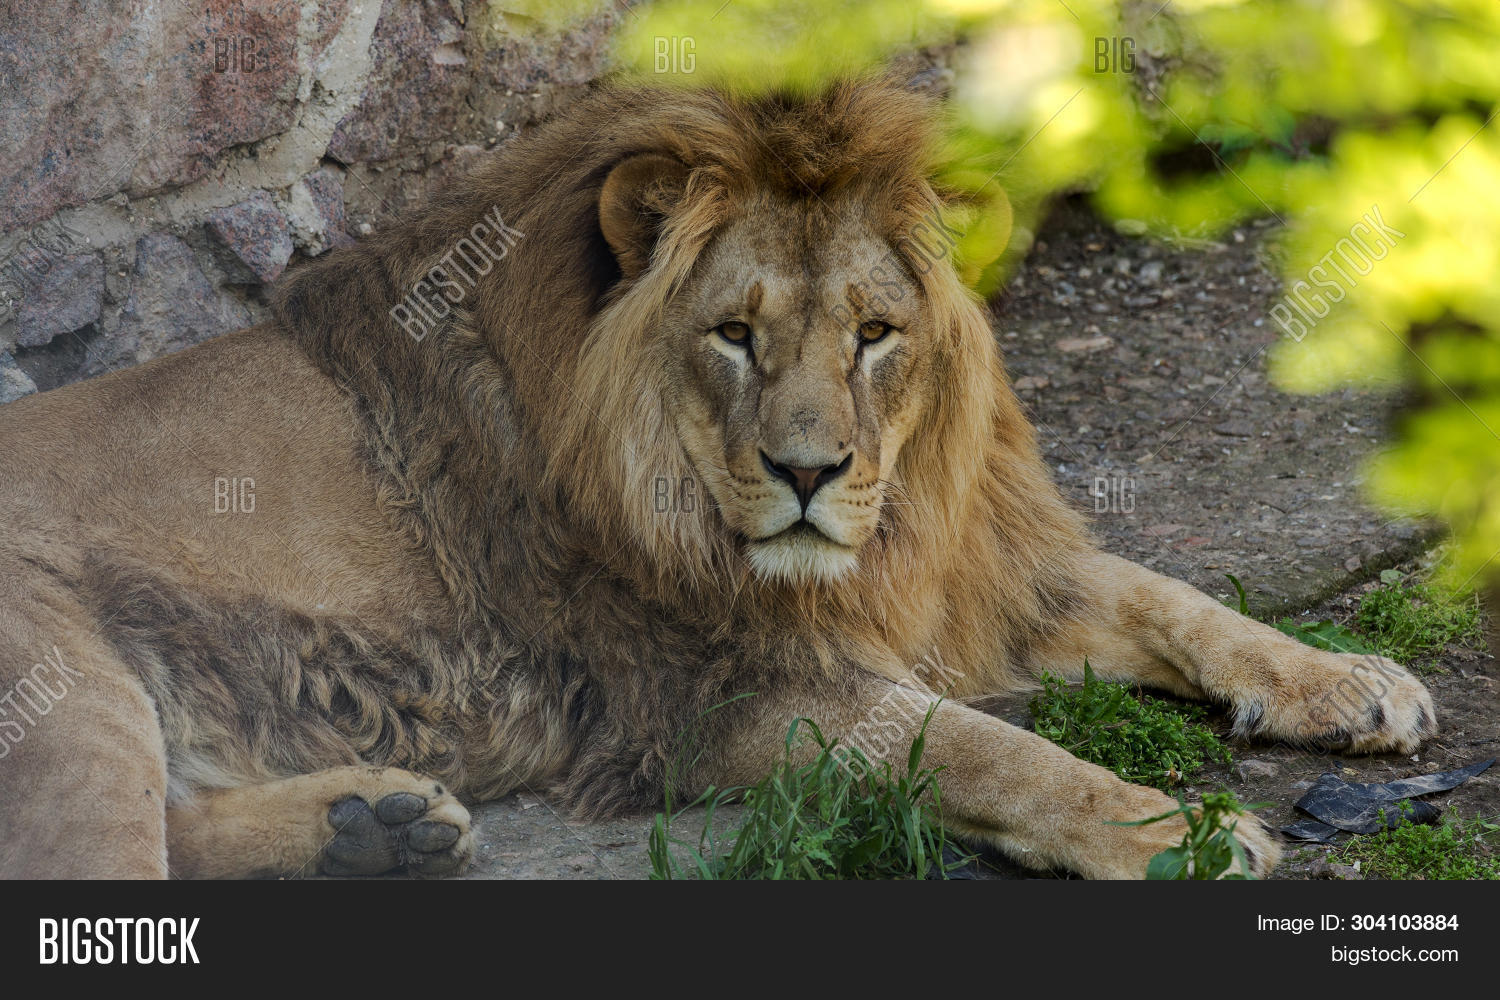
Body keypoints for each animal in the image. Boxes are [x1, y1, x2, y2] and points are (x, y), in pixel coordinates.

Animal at [0, 79, 1435, 879]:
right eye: (735, 333)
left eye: (875, 333)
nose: (807, 472)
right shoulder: (716, 686)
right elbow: (994, 752)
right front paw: (1173, 835)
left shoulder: (956, 565)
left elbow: (1165, 595)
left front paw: (1345, 678)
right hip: (70, 692)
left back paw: (376, 827)